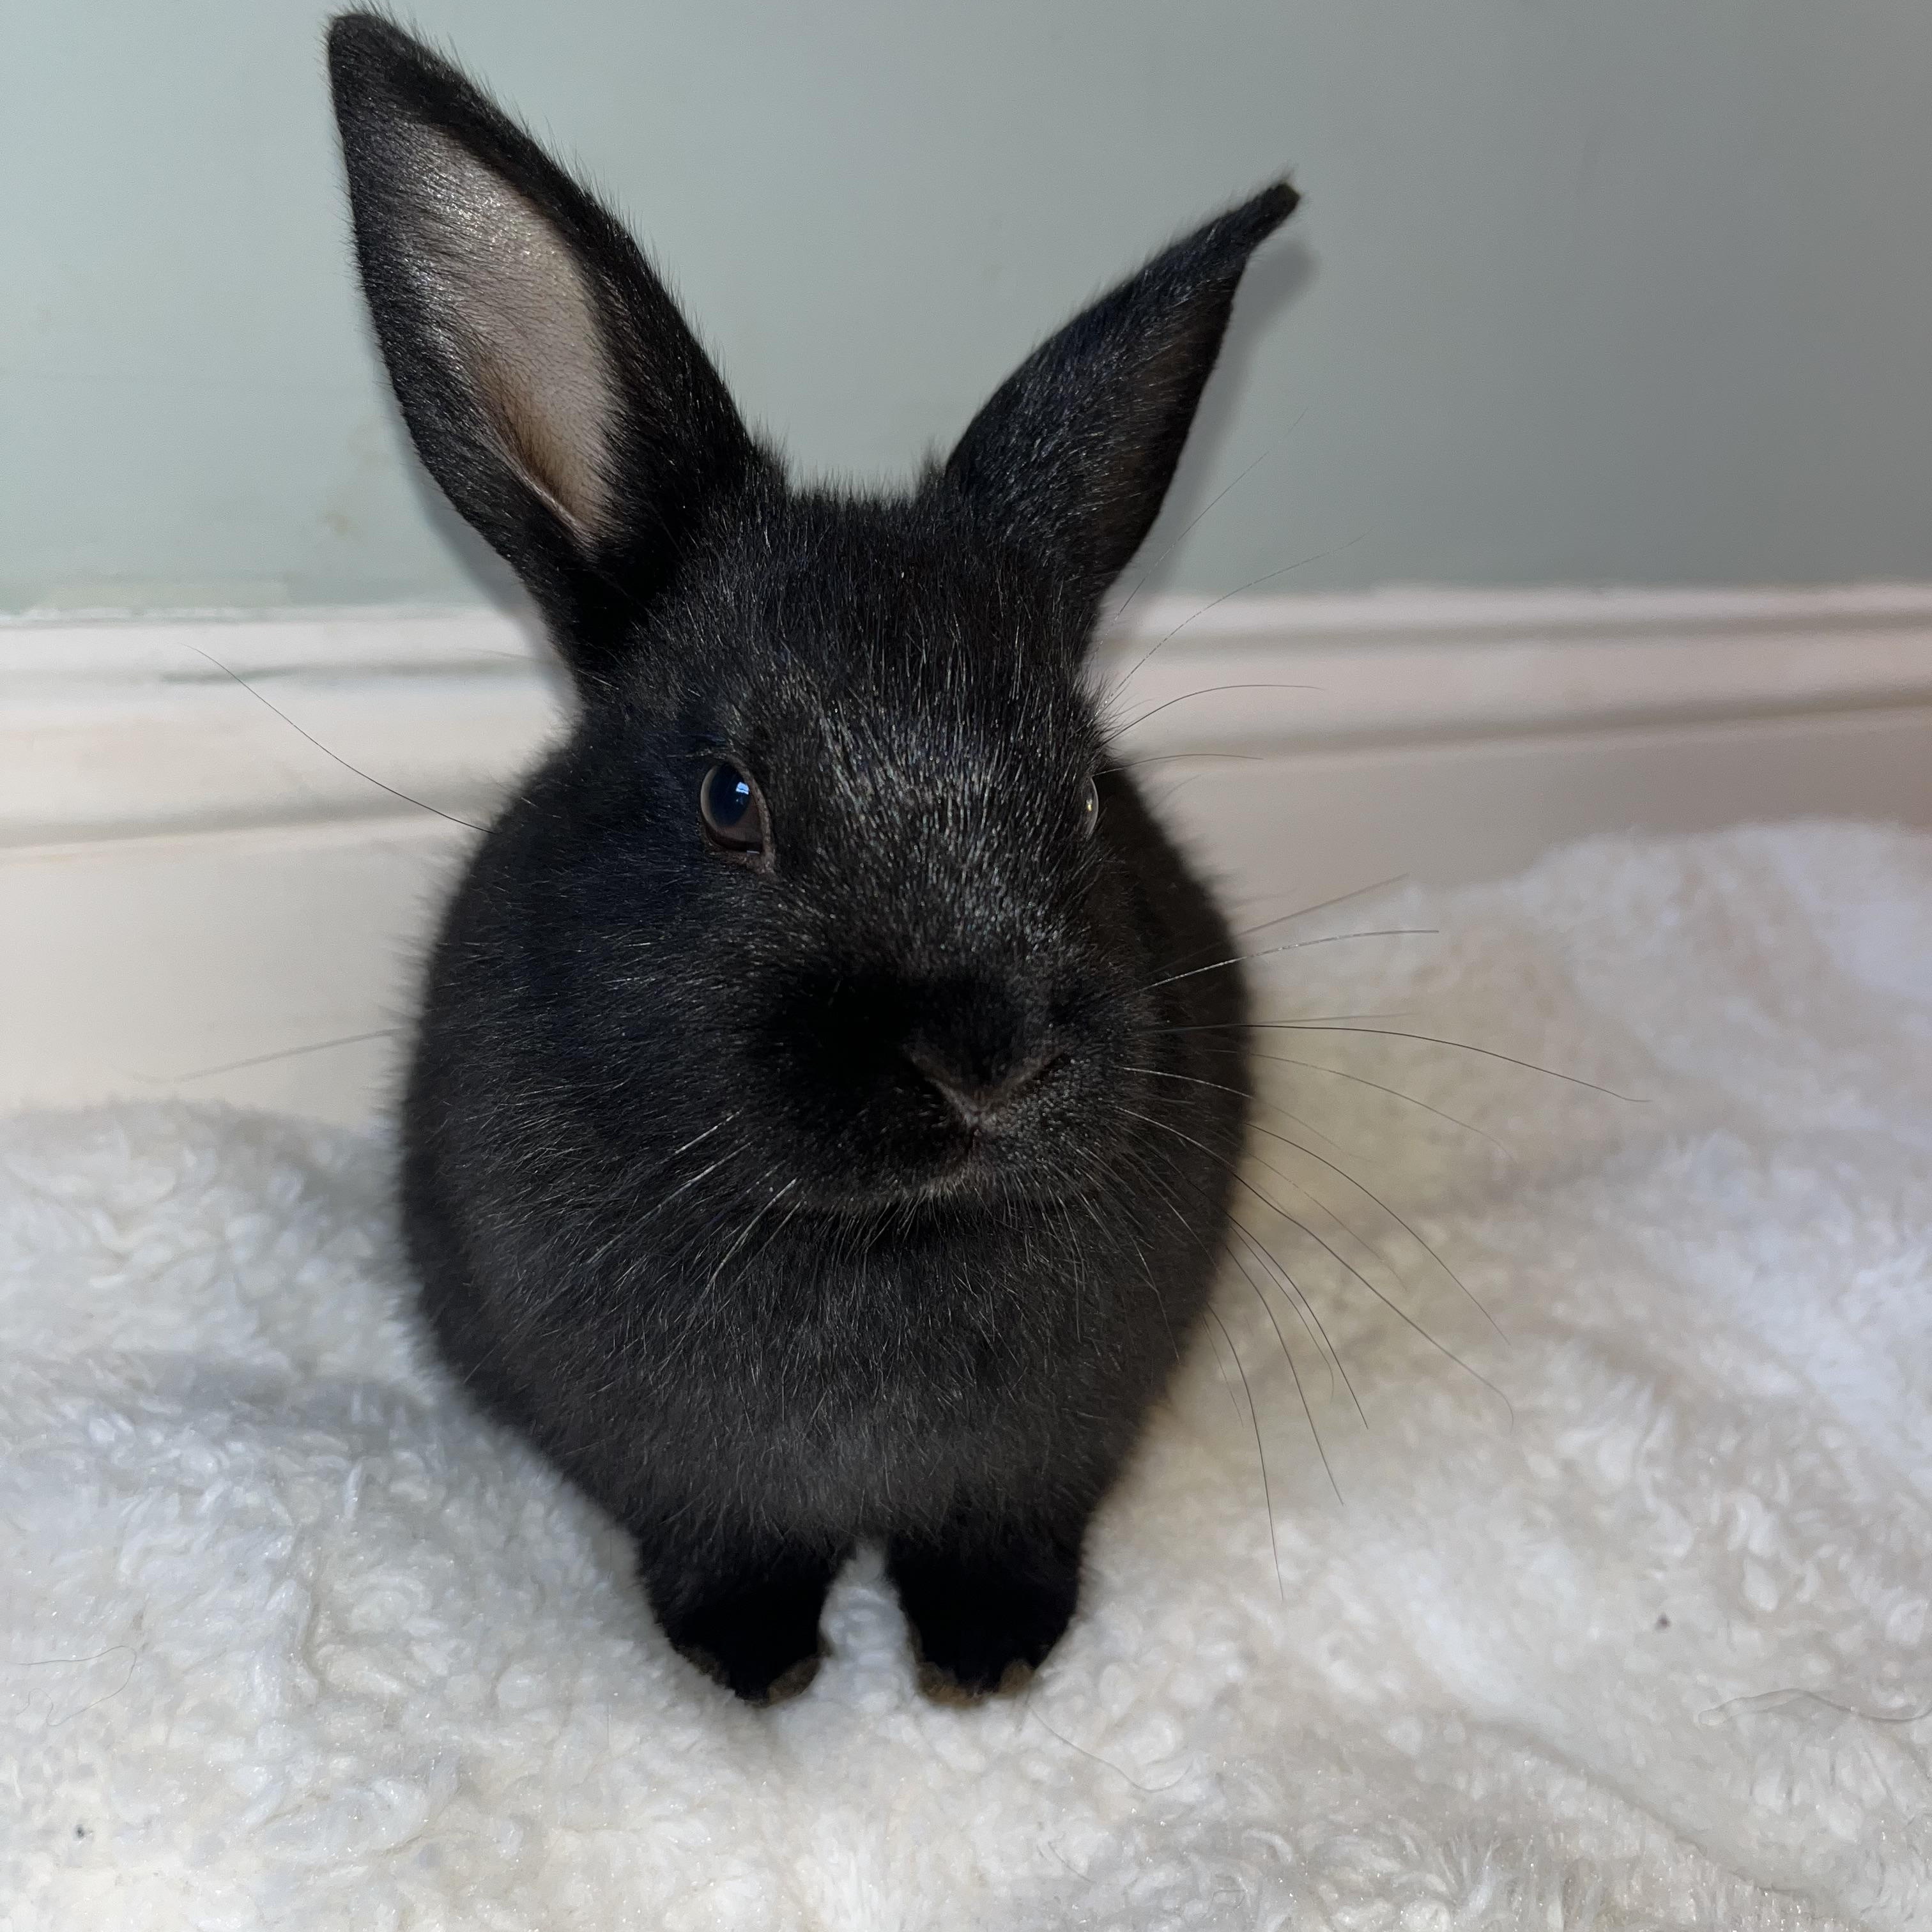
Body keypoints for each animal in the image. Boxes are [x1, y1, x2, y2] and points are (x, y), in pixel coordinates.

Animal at [326, 11, 1294, 1705]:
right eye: (731, 801)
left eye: (1087, 803)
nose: (989, 1058)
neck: (882, 1239)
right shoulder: (675, 1479)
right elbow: (725, 1545)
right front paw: (756, 1665)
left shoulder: (1045, 1463)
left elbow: (1000, 1531)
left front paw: (985, 1659)